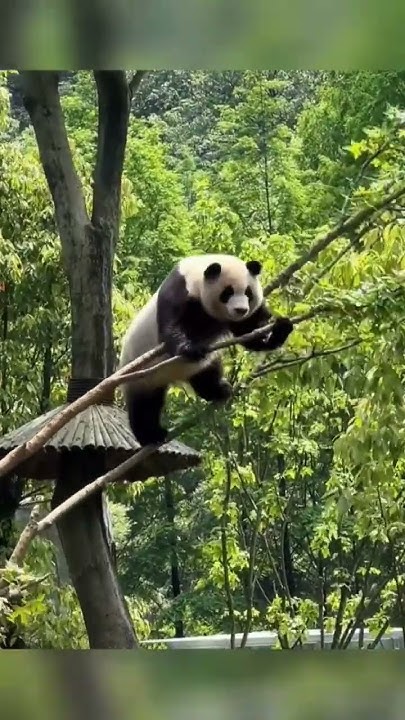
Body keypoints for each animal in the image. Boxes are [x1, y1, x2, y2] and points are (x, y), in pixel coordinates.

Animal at [119, 254, 293, 447]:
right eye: (227, 292)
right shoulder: (179, 289)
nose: (241, 310)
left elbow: (249, 332)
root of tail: (173, 377)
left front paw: (278, 329)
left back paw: (219, 390)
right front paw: (190, 348)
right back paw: (152, 435)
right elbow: (171, 327)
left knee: (206, 377)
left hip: (197, 368)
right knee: (144, 407)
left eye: (248, 293)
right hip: (141, 375)